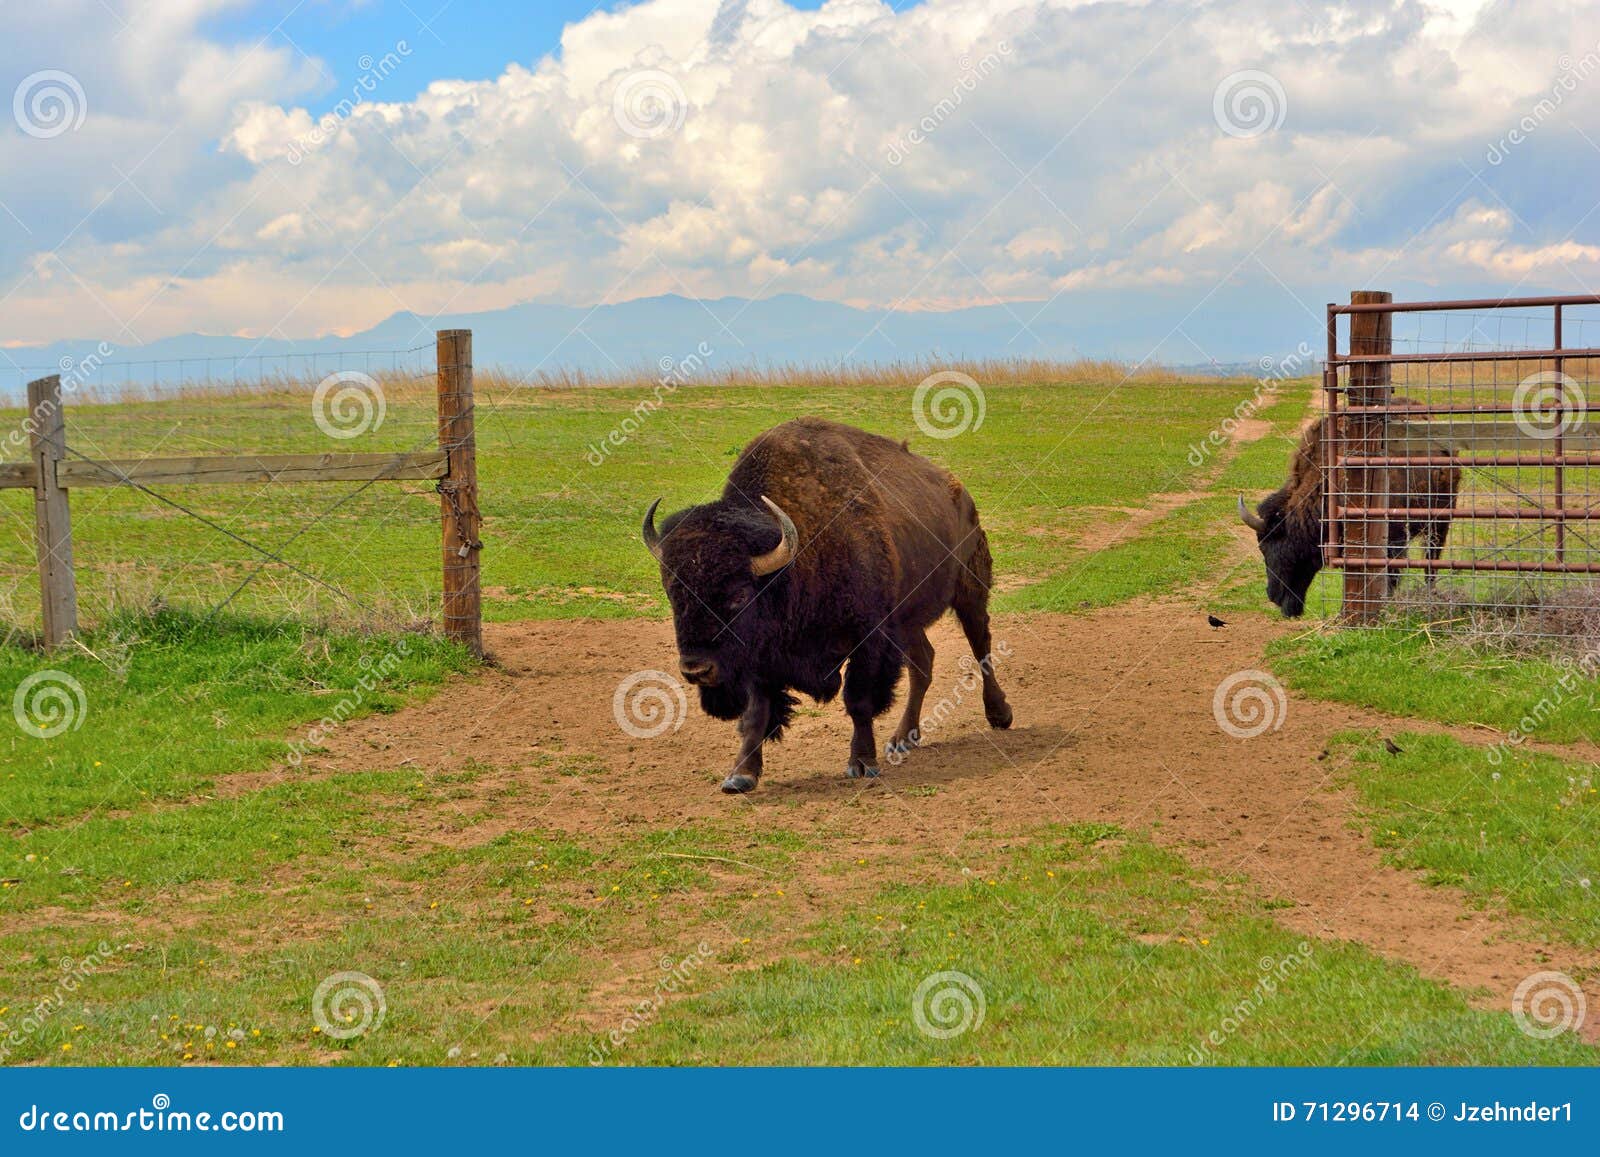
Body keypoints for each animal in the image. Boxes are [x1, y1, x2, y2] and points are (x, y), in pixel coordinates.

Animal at [643, 417, 1013, 793]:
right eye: (674, 594)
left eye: (739, 595)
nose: (695, 669)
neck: (795, 559)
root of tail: (961, 493)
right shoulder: (761, 658)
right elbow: (756, 714)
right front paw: (740, 775)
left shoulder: (869, 639)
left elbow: (858, 701)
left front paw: (862, 764)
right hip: (908, 621)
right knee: (923, 662)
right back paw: (902, 739)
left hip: (970, 592)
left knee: (981, 647)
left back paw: (999, 714)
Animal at [1240, 409, 1460, 617]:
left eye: (1266, 546)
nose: (1272, 595)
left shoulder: (1394, 539)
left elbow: (1390, 575)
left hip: (1440, 523)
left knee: (1431, 563)